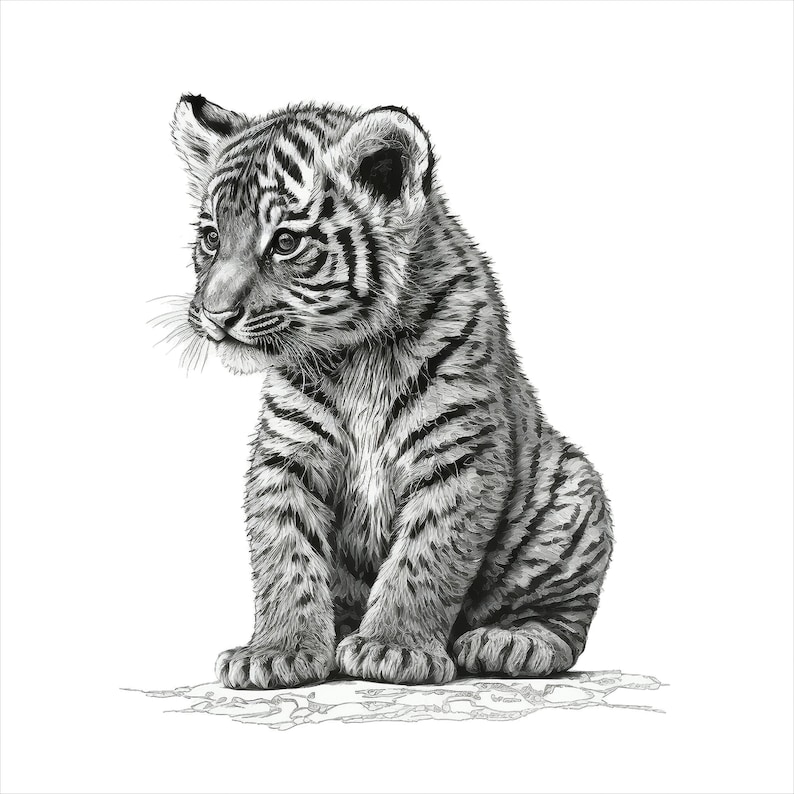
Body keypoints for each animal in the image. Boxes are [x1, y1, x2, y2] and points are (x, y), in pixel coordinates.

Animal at [167, 94, 613, 689]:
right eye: (211, 237)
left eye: (285, 241)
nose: (214, 316)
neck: (354, 354)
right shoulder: (285, 458)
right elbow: (284, 556)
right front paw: (276, 651)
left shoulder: (459, 456)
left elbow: (426, 558)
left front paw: (393, 649)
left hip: (573, 493)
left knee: (564, 622)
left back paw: (509, 642)